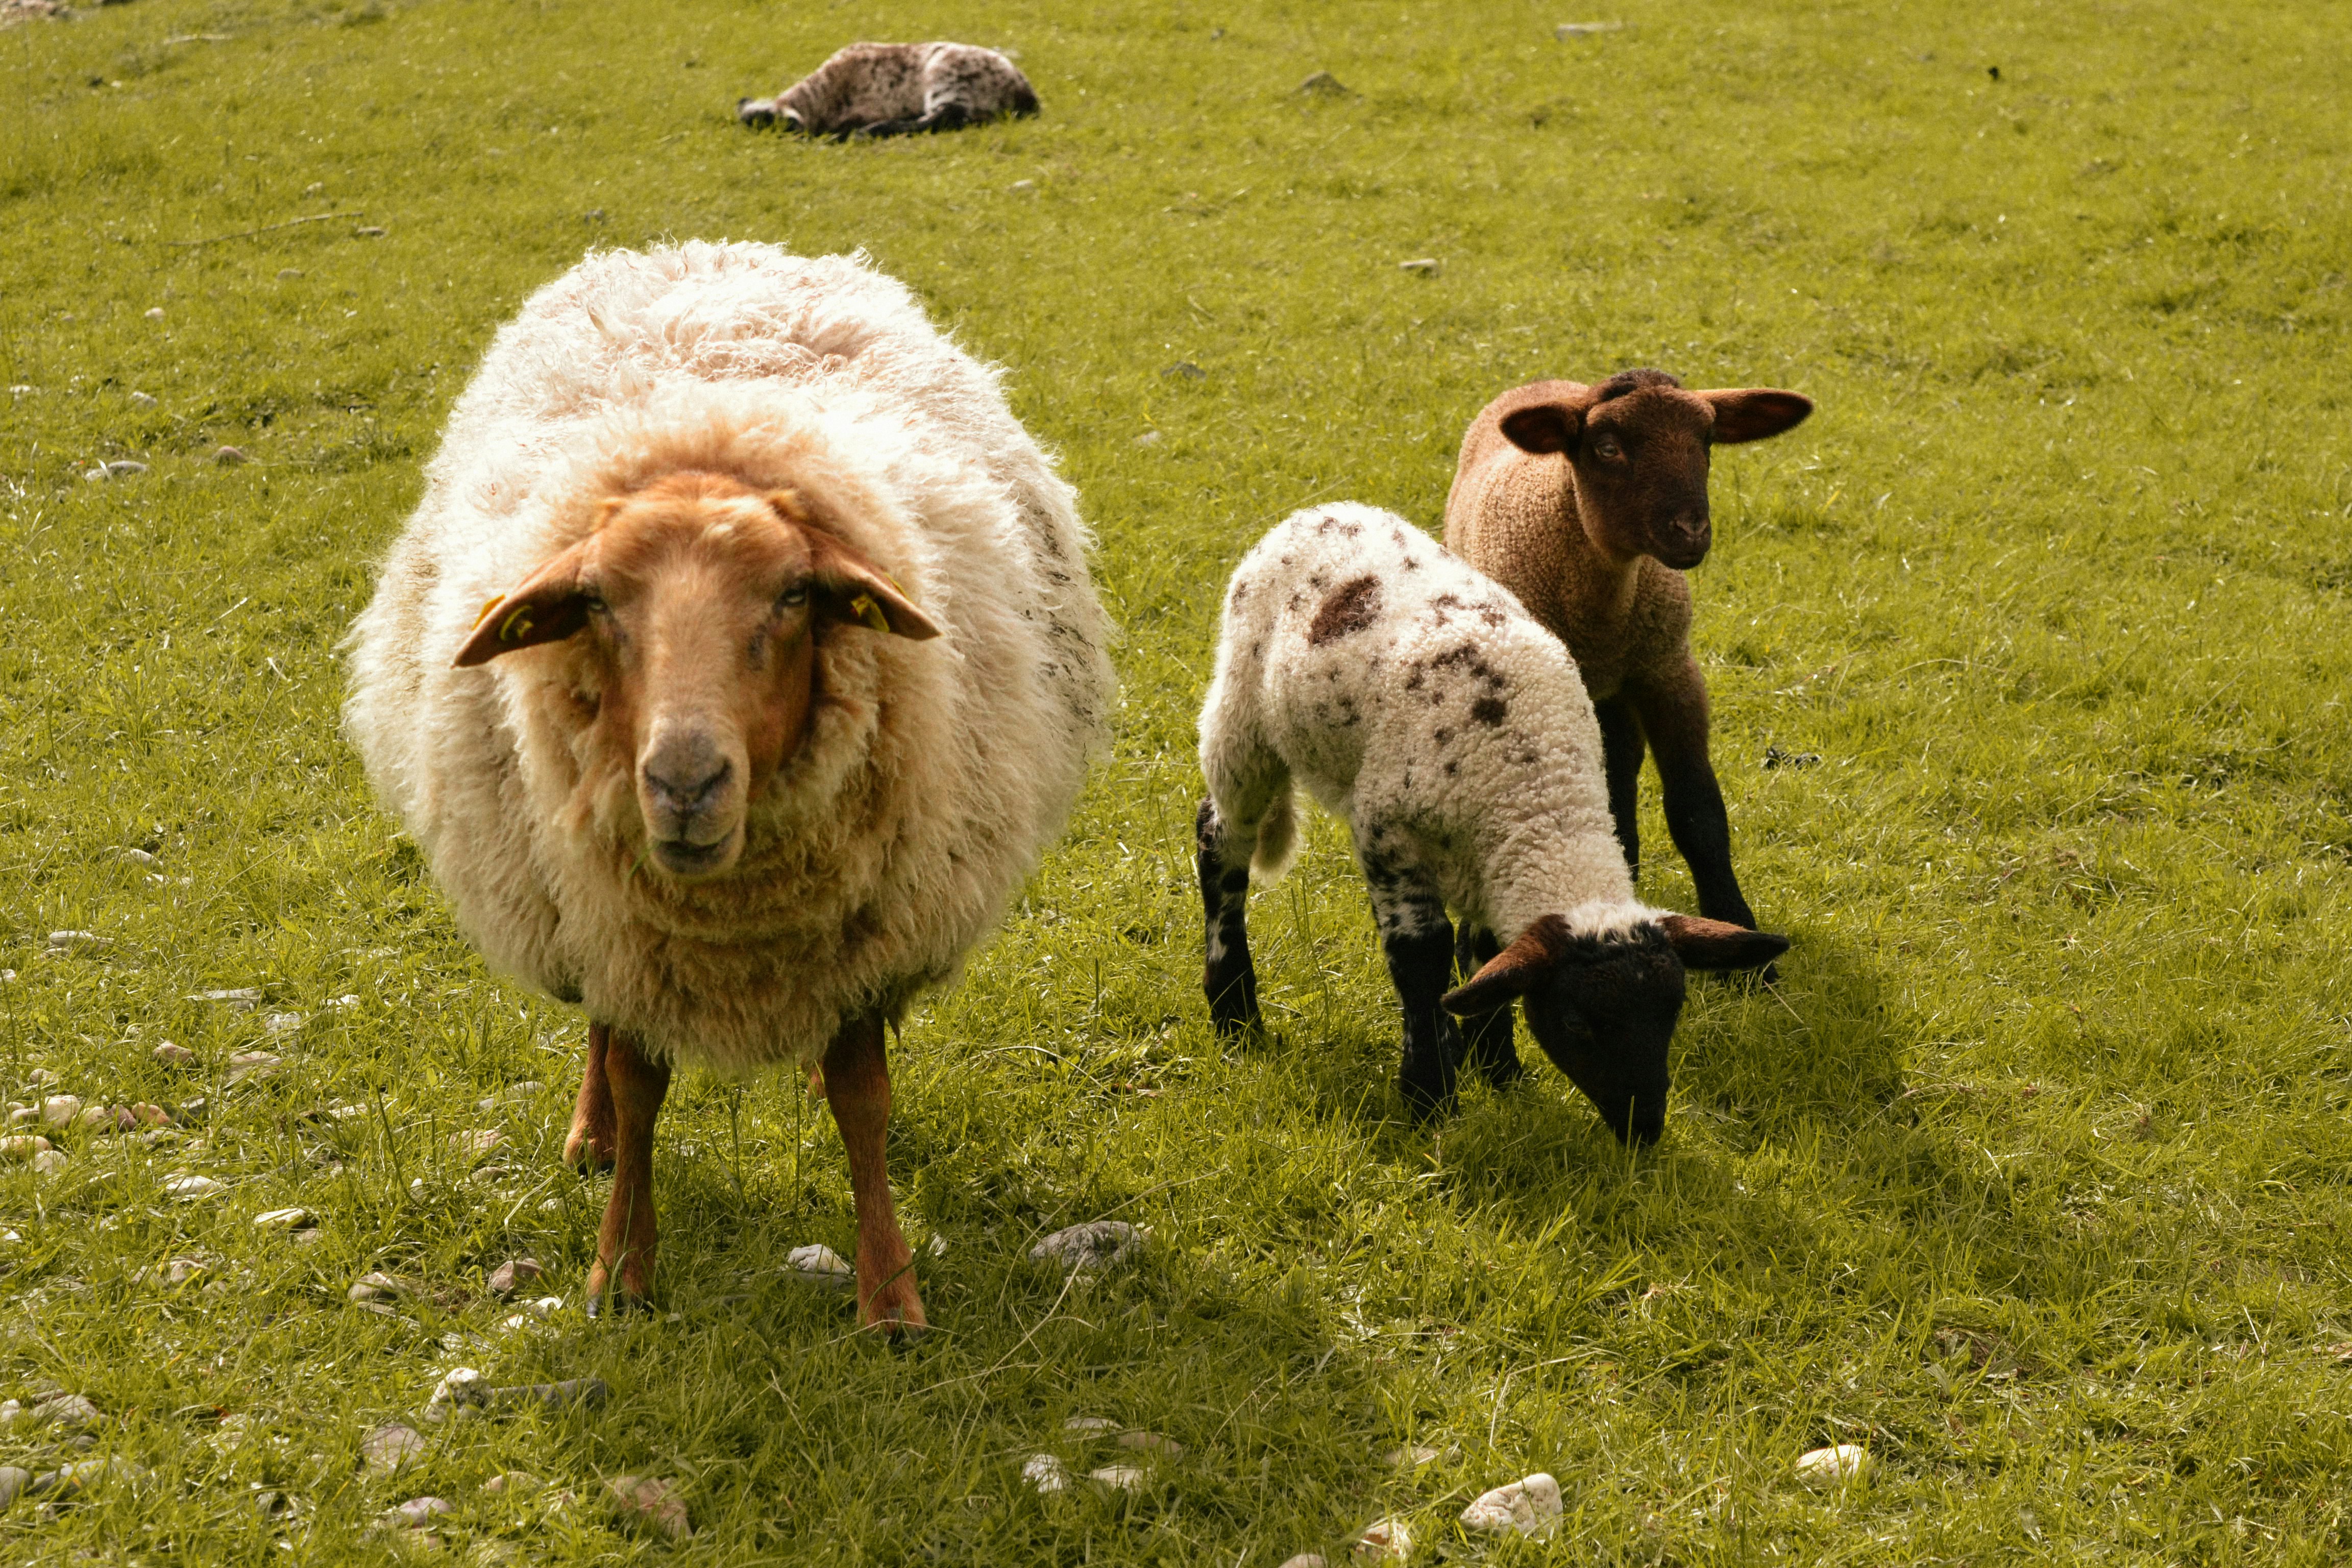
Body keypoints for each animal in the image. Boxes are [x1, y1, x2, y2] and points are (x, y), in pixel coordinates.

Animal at [344, 241, 1114, 1330]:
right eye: (593, 601)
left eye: (794, 595)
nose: (683, 780)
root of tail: (696, 252)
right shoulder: (627, 931)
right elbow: (636, 1080)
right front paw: (620, 1269)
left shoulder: (859, 935)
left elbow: (861, 1099)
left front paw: (890, 1296)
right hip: (582, 897)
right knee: (601, 1039)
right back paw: (590, 1135)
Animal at [1195, 504, 1786, 1141]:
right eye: (1577, 1023)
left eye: (1673, 1010)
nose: (1645, 1128)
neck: (1537, 791)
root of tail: (1323, 511)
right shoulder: (1387, 835)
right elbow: (1422, 961)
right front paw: (1428, 1095)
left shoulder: (1490, 855)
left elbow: (1484, 954)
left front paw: (1499, 1068)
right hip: (1243, 720)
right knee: (1220, 843)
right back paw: (1234, 1011)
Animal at [1442, 369, 1812, 935]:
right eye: (1608, 448)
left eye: (1707, 440)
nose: (1691, 530)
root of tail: (1543, 382)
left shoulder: (1669, 670)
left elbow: (1697, 808)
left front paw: (1736, 923)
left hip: (1617, 690)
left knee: (1619, 763)